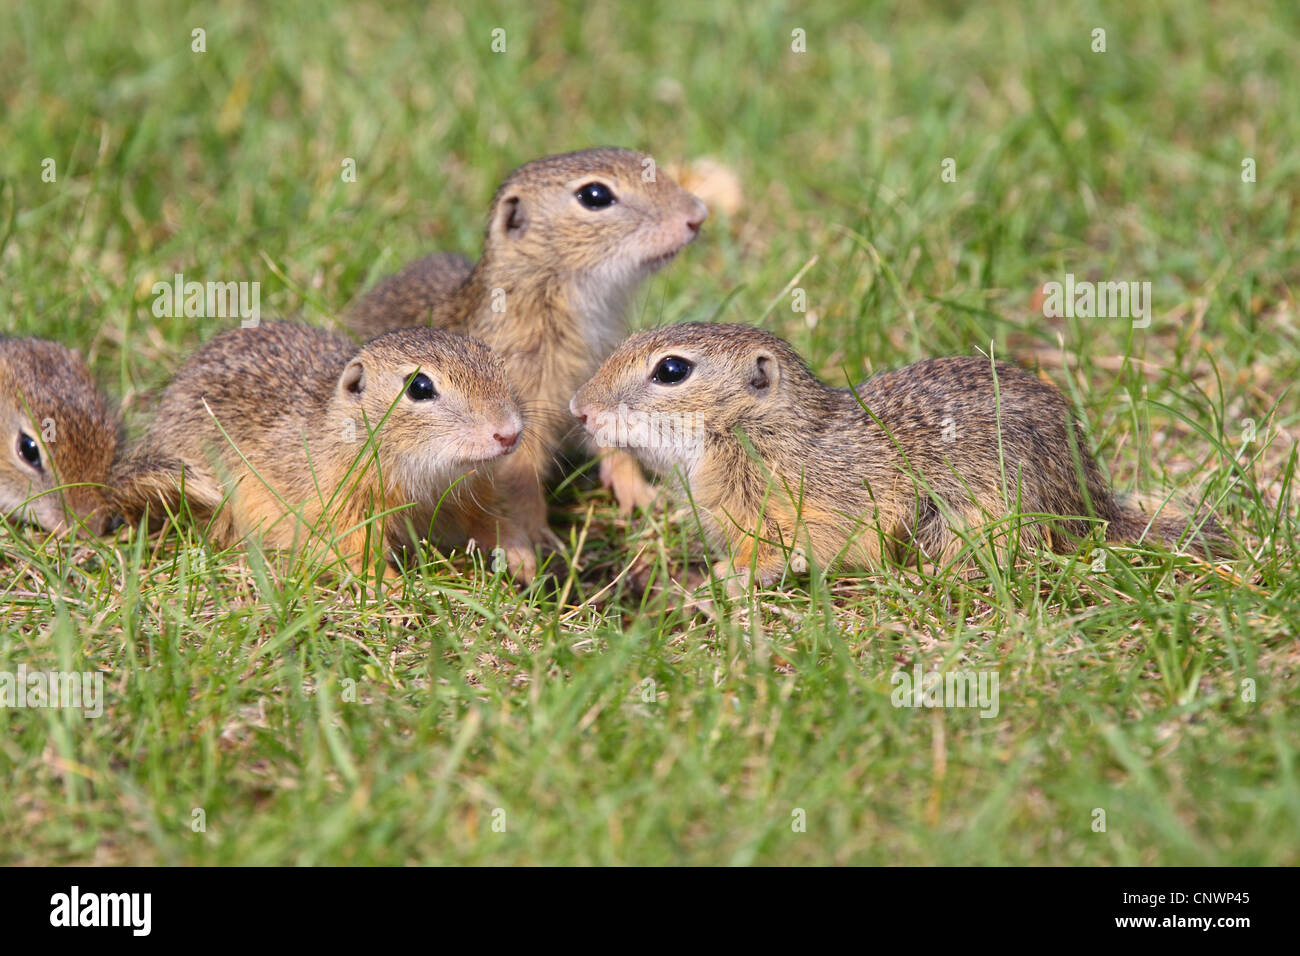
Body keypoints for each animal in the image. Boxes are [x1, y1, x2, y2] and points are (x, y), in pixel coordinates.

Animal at [111, 321, 523, 578]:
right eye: (419, 387)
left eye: (499, 366)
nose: (509, 434)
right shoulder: (335, 507)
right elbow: (353, 550)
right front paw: (392, 591)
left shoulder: (459, 495)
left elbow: (486, 521)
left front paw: (521, 557)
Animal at [571, 322, 1230, 593]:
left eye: (671, 370)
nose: (579, 409)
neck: (755, 430)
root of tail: (1094, 508)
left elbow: (781, 553)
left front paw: (723, 582)